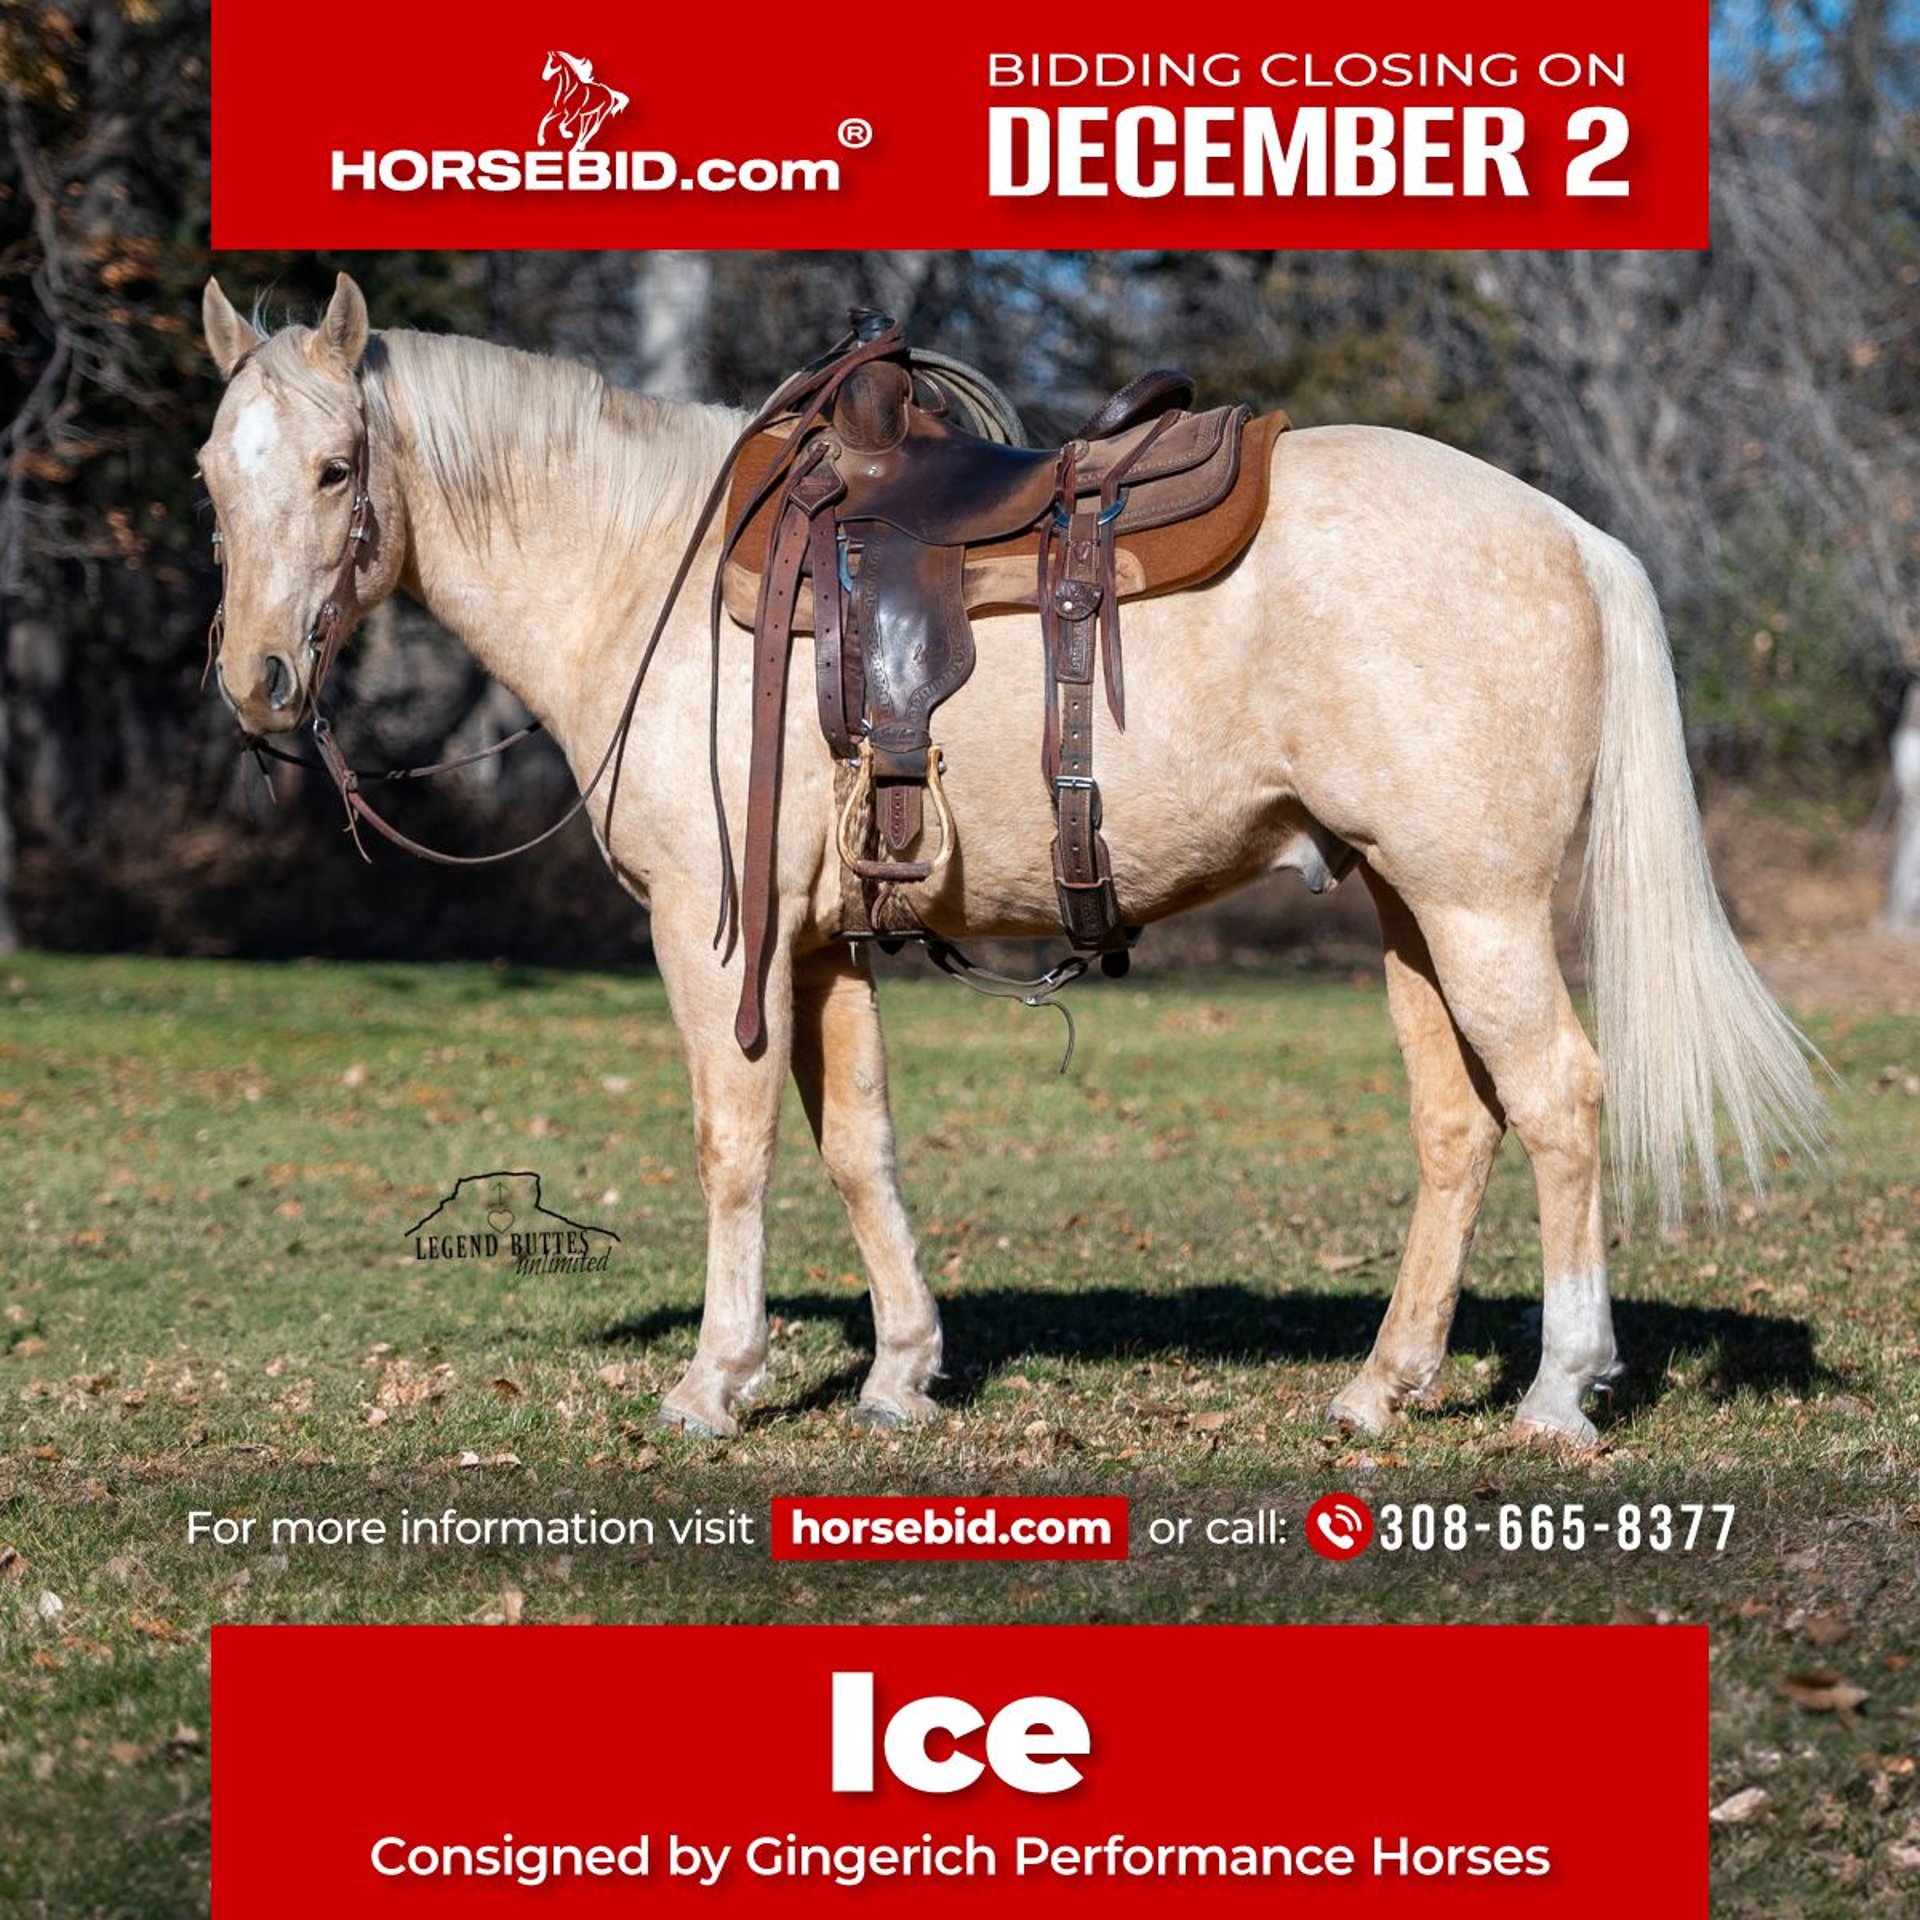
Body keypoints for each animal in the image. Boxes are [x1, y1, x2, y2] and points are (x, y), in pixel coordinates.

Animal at [196, 272, 1825, 1444]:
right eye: (215, 471)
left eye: (338, 470)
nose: (257, 684)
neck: (648, 571)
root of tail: (1567, 530)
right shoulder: (821, 943)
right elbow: (859, 1143)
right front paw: (900, 1373)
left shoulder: (718, 933)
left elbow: (736, 1145)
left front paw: (718, 1382)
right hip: (1407, 910)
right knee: (1458, 1127)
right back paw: (1383, 1388)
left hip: (1477, 907)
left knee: (1559, 1102)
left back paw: (1559, 1392)